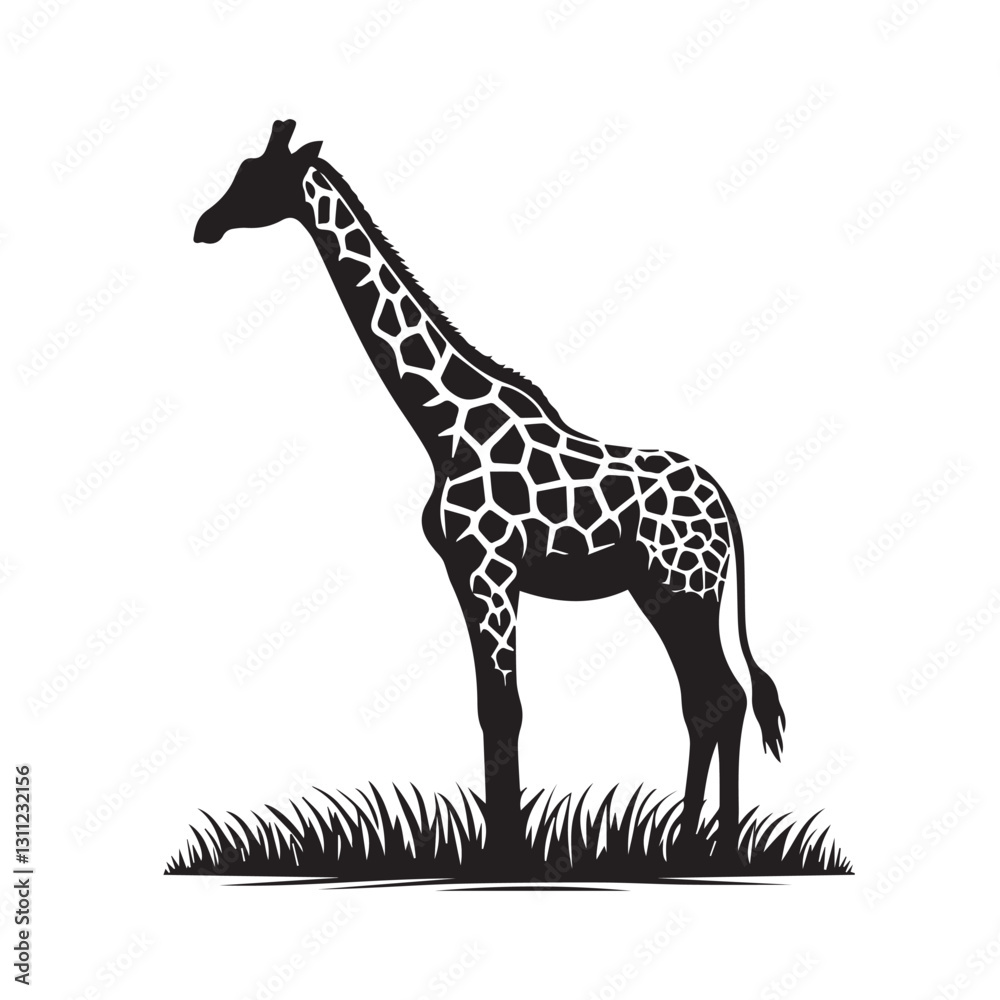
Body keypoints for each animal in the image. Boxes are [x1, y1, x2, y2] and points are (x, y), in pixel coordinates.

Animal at [194, 120, 786, 870]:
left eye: (255, 178)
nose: (204, 226)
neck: (445, 425)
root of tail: (727, 509)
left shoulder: (490, 568)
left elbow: (505, 707)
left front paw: (506, 856)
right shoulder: (463, 570)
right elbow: (489, 705)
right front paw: (502, 847)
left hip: (684, 588)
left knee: (720, 698)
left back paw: (712, 850)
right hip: (660, 591)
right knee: (710, 699)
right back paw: (696, 846)